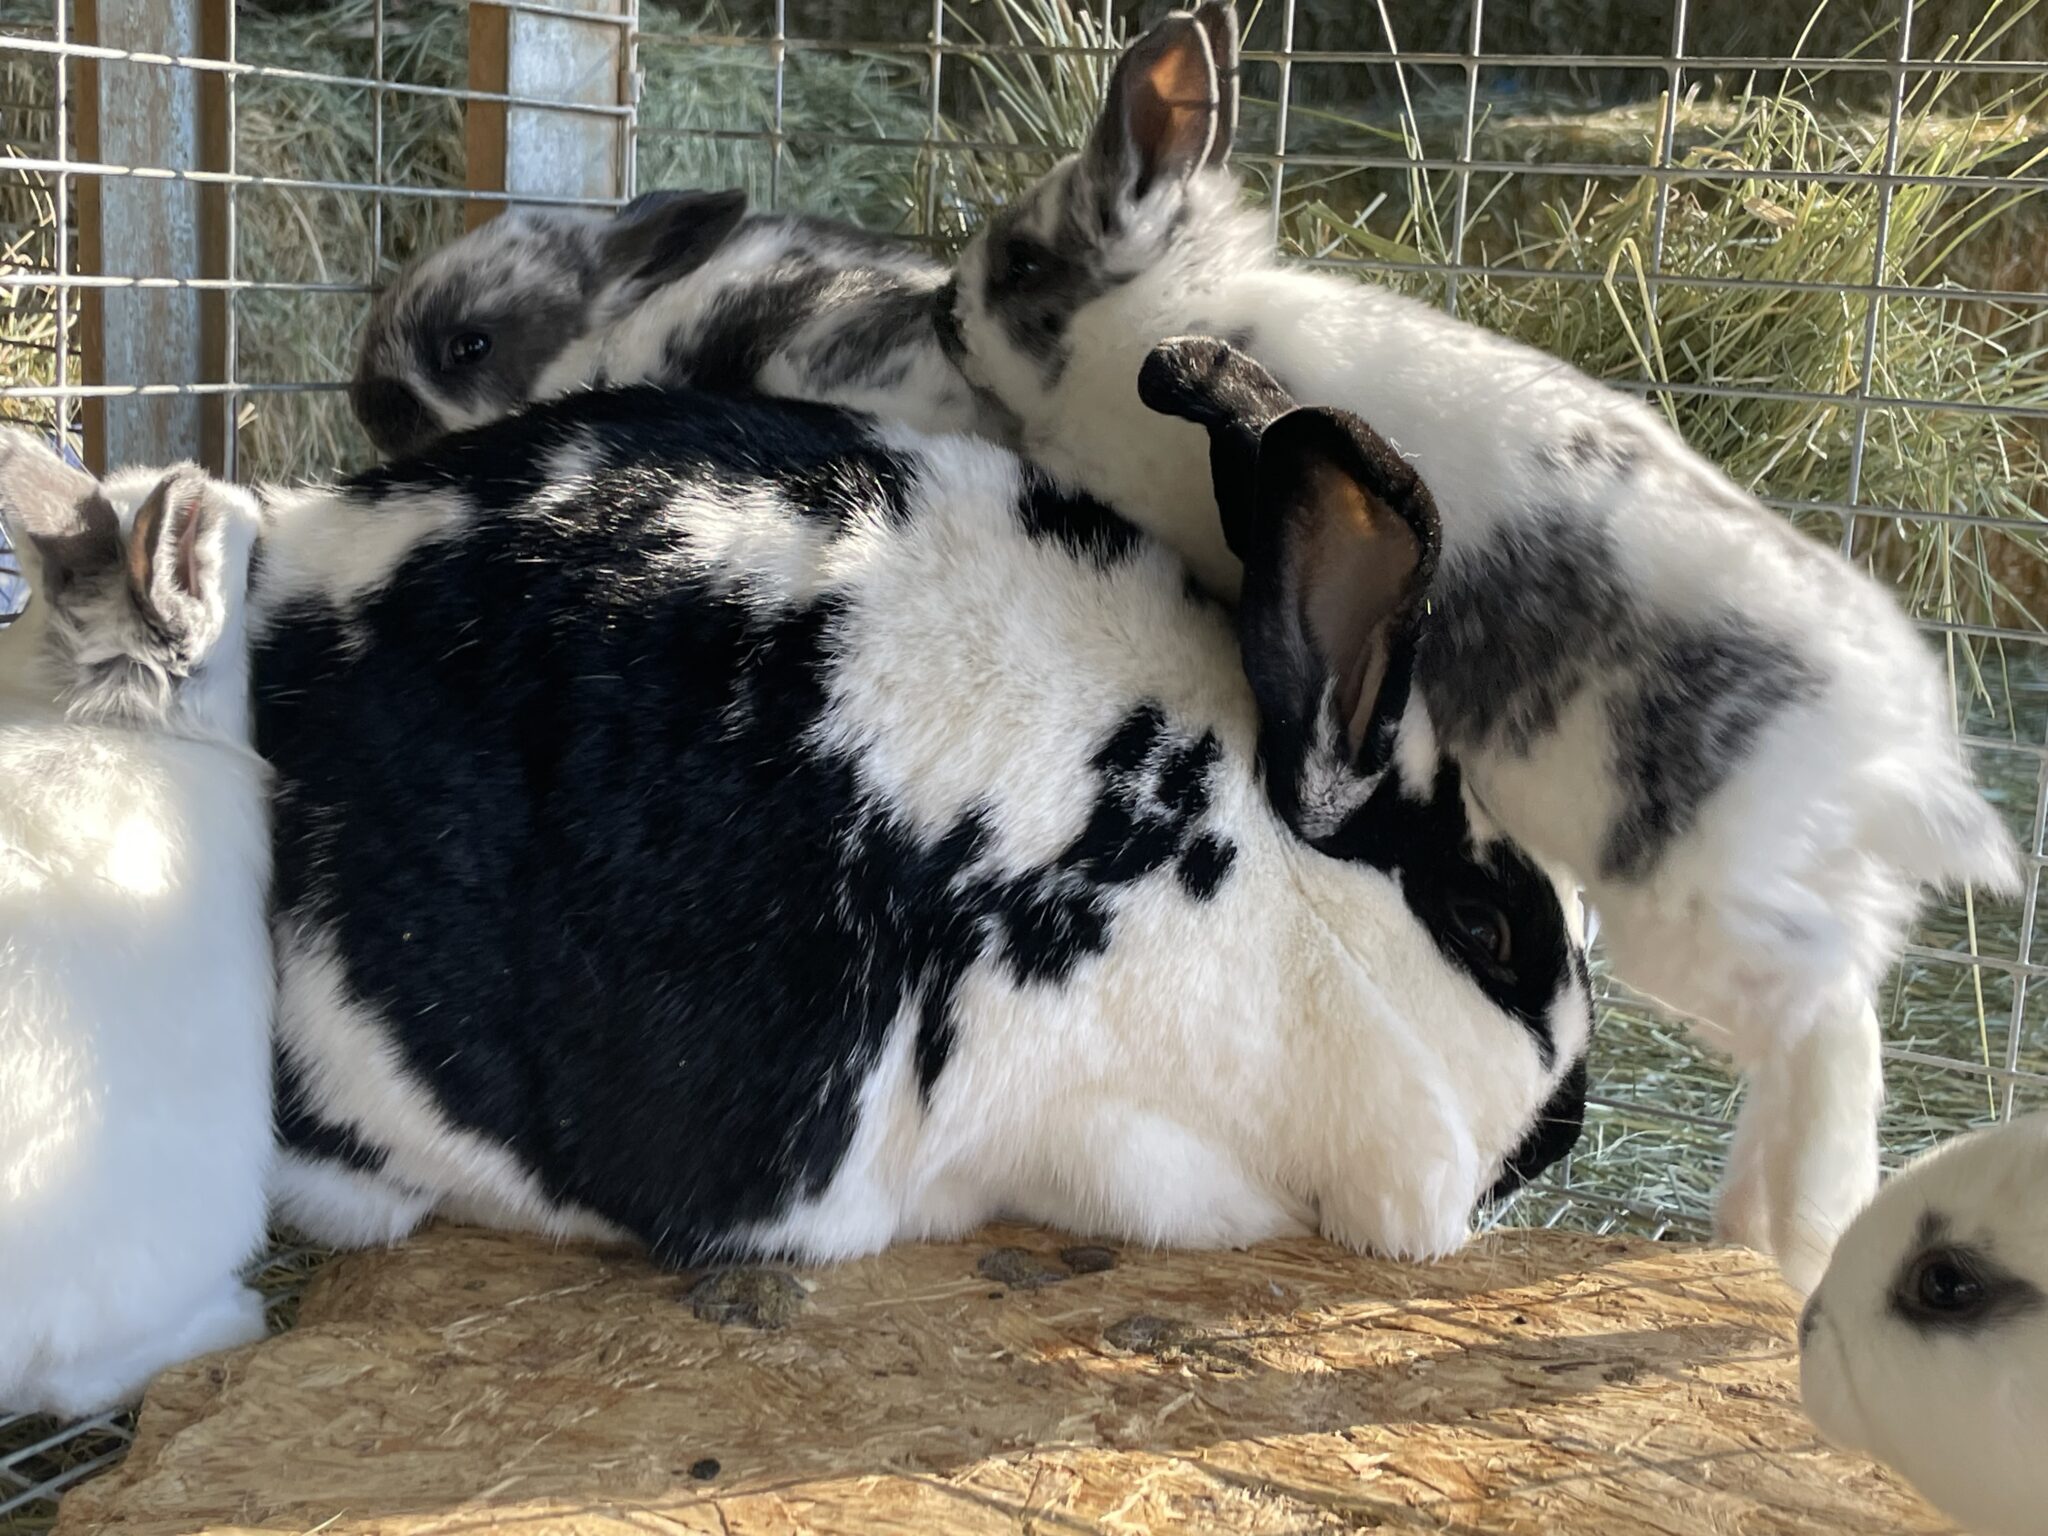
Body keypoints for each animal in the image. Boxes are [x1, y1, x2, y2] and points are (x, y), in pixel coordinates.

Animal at [931, 2, 2020, 1293]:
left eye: (1020, 262)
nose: (941, 311)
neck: (1153, 314)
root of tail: (1893, 754)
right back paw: (1761, 1221)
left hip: (1695, 900)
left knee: (1823, 1012)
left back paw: (1790, 1233)